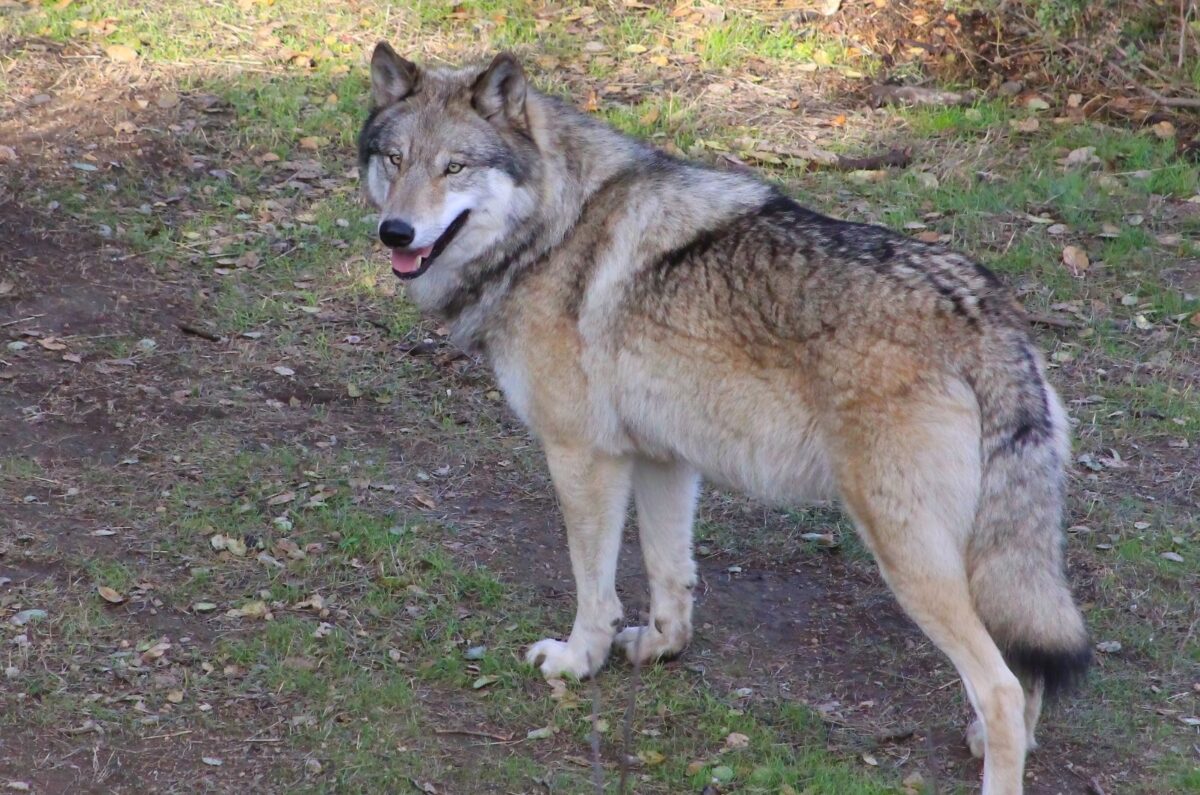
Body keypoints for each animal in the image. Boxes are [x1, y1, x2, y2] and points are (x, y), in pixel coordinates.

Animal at [358, 43, 1091, 795]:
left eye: (454, 167)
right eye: (395, 159)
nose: (396, 231)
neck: (554, 228)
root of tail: (987, 314)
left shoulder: (583, 455)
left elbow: (594, 585)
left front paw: (578, 660)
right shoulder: (663, 457)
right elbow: (668, 573)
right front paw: (660, 646)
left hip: (908, 553)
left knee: (1000, 687)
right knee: (1024, 673)